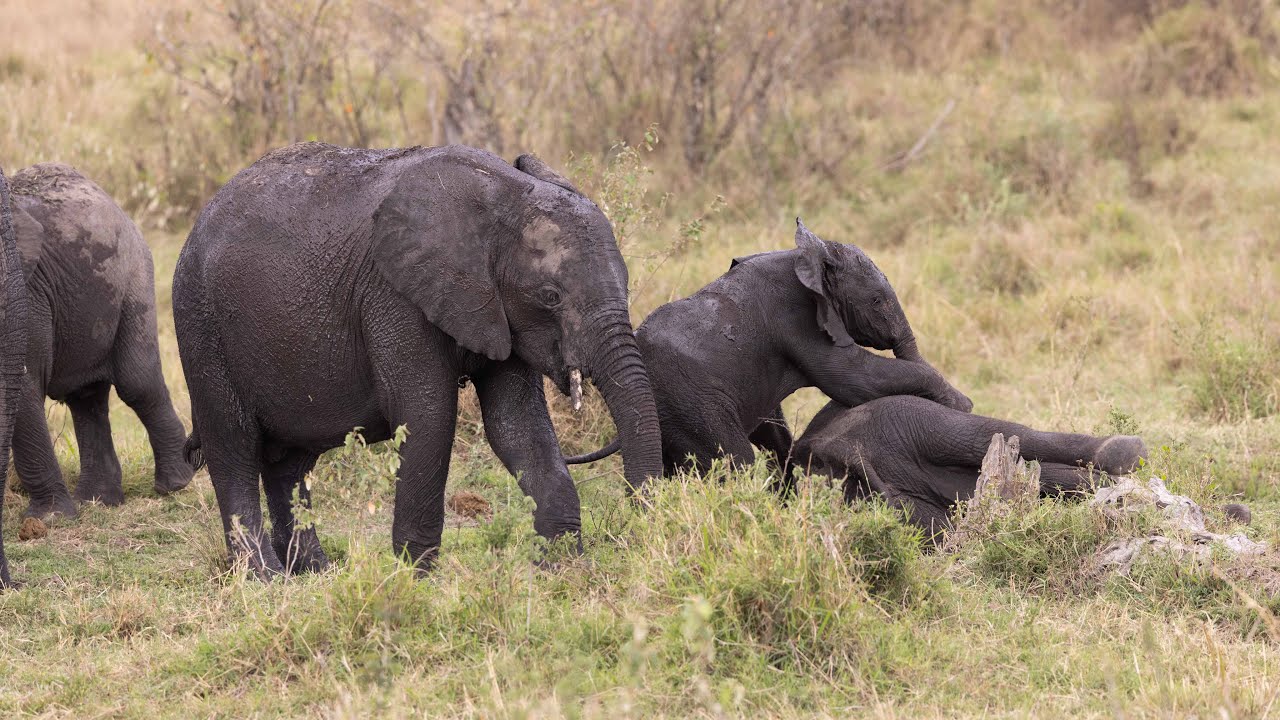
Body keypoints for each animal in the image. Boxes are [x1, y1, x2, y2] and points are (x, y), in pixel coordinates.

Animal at [8, 163, 193, 519]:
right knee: (86, 397)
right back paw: (98, 501)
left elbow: (21, 387)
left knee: (137, 382)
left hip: (134, 273)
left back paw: (177, 483)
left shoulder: (26, 298)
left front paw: (50, 520)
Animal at [173, 142, 662, 576]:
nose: (637, 526)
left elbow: (517, 425)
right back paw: (267, 578)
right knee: (233, 449)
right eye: (550, 296)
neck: (504, 194)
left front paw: (562, 571)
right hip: (201, 325)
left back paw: (316, 573)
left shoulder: (499, 311)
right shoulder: (395, 296)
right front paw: (415, 580)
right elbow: (429, 416)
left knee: (290, 464)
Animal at [566, 219, 971, 484]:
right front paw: (962, 405)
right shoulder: (796, 318)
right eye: (876, 300)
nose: (963, 405)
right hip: (691, 403)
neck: (808, 254)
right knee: (736, 462)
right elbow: (854, 379)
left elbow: (777, 424)